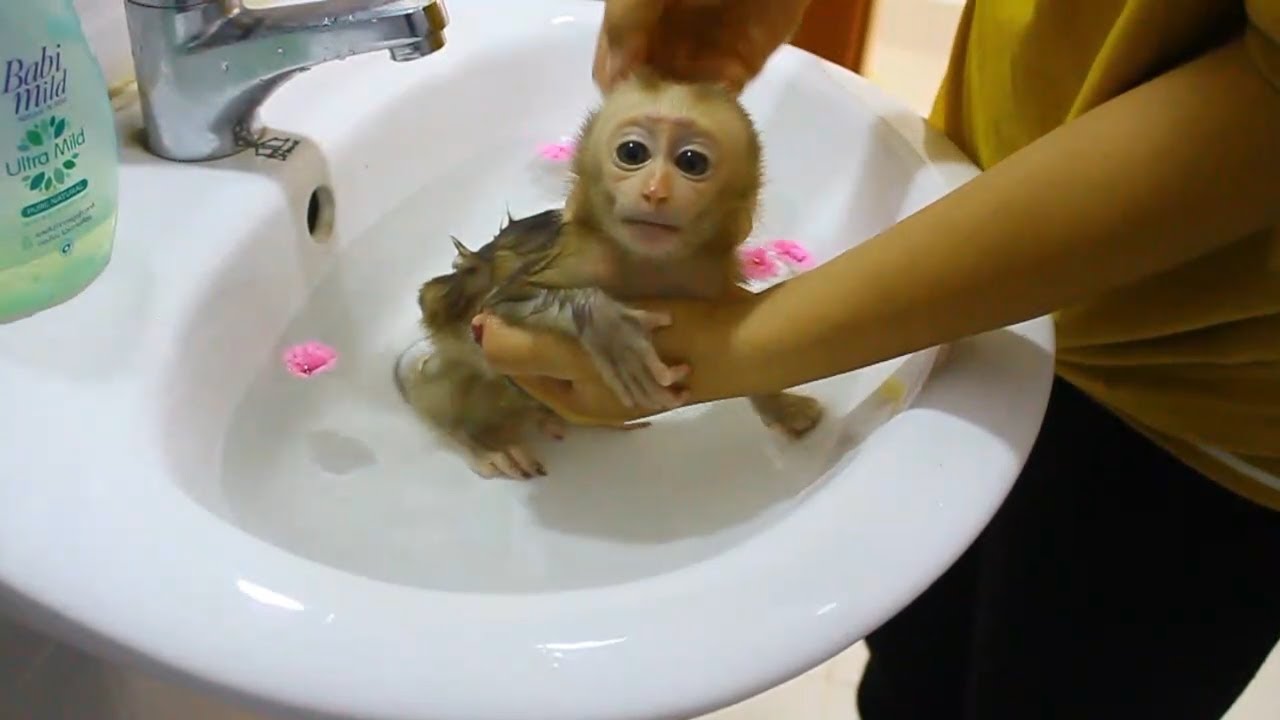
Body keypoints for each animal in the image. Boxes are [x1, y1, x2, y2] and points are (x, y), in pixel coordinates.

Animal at [400, 70, 824, 479]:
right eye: (632, 153)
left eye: (691, 162)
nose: (655, 191)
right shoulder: (584, 254)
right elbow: (500, 302)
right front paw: (607, 327)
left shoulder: (709, 279)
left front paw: (781, 406)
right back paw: (480, 436)